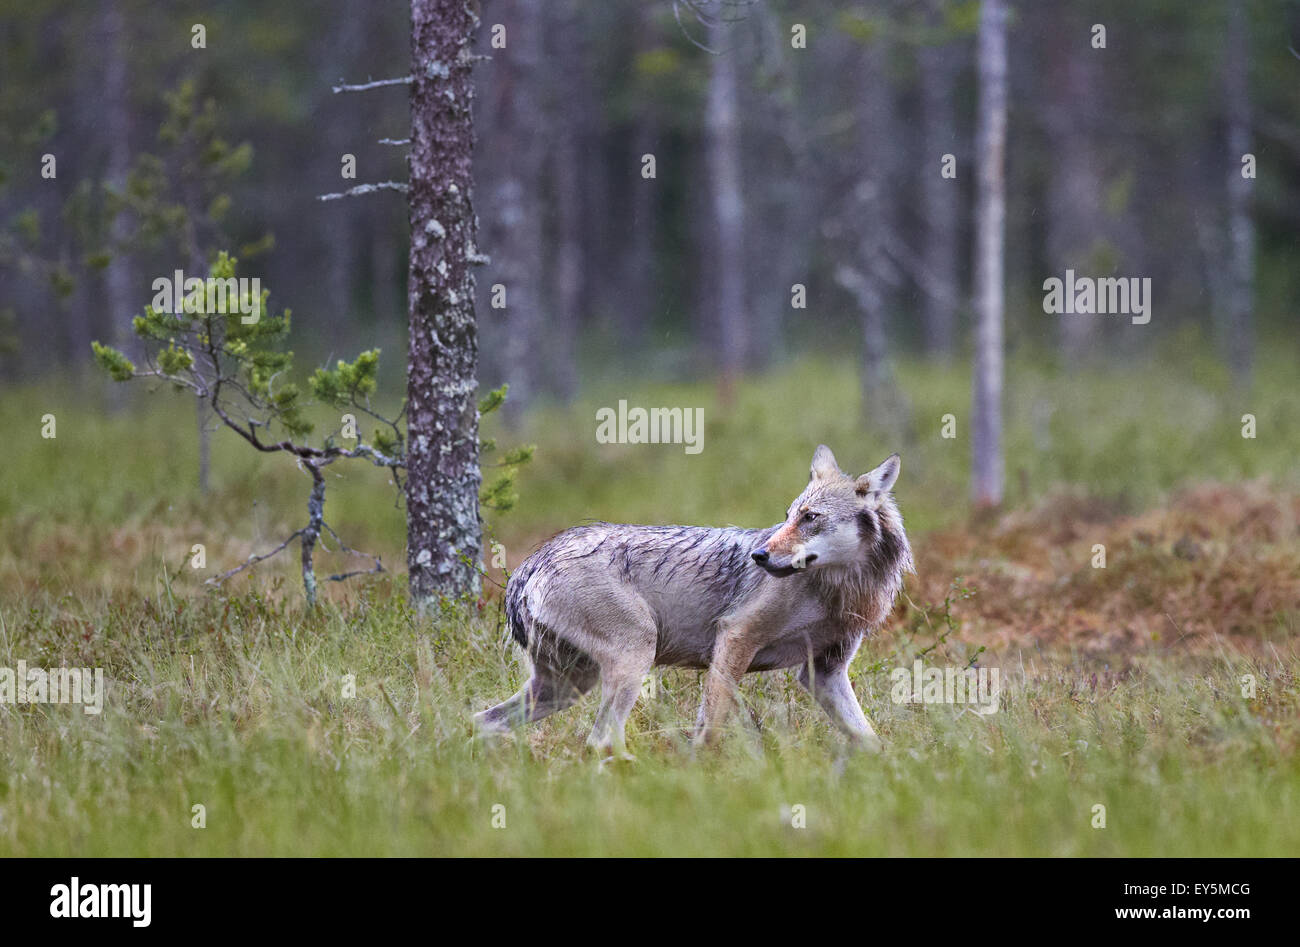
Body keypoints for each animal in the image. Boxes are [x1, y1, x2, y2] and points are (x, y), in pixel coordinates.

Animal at [475, 445, 913, 757]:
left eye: (810, 518)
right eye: (789, 515)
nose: (759, 555)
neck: (839, 589)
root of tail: (529, 564)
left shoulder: (824, 673)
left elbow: (872, 742)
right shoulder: (735, 638)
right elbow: (710, 729)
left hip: (566, 687)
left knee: (482, 721)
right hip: (632, 657)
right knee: (601, 740)